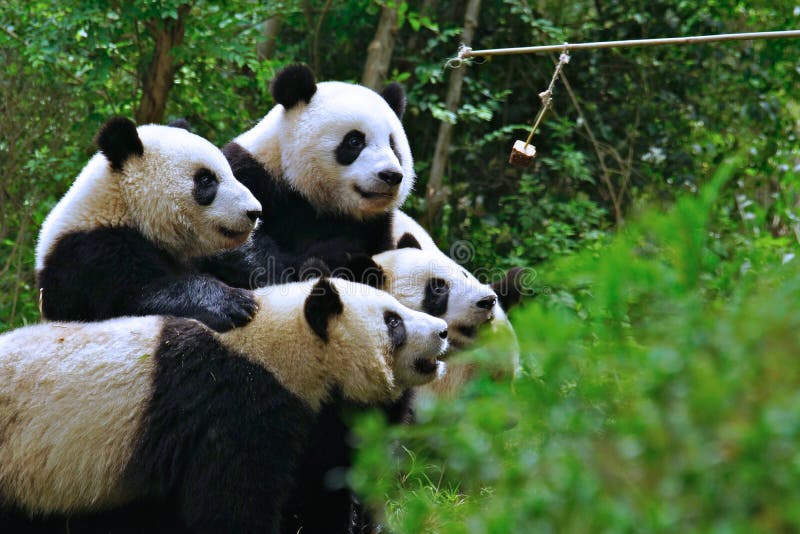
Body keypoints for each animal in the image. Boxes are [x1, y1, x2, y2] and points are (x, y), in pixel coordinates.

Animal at [35, 117, 263, 332]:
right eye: (206, 179)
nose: (254, 212)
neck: (123, 206)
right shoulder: (91, 253)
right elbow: (138, 294)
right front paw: (234, 303)